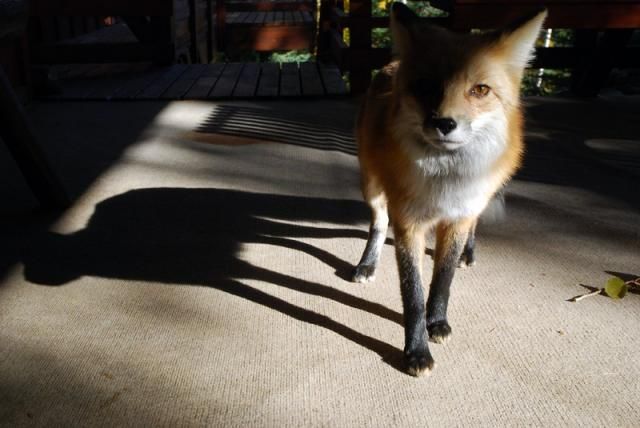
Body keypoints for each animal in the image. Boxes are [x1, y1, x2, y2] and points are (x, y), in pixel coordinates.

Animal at [352, 3, 547, 376]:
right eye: (426, 86)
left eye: (480, 90)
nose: (445, 123)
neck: (446, 182)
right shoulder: (409, 222)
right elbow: (412, 294)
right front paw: (416, 350)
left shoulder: (458, 215)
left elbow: (442, 280)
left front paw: (437, 322)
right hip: (370, 183)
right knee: (378, 222)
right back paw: (367, 263)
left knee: (474, 224)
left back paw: (468, 253)